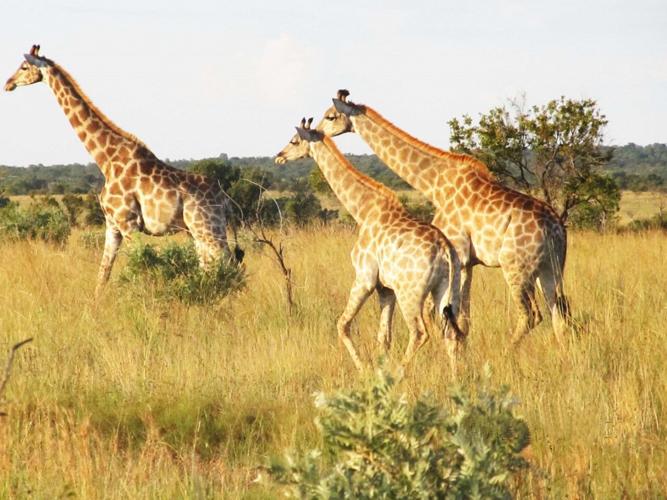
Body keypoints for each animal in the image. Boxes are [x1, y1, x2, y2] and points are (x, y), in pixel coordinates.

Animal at [4, 45, 235, 294]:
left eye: (24, 67)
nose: (8, 83)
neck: (106, 160)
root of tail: (223, 197)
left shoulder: (128, 222)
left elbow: (142, 266)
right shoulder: (112, 225)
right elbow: (103, 274)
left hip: (206, 226)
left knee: (228, 263)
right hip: (198, 229)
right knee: (211, 265)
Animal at [275, 118, 464, 371]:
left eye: (294, 140)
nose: (279, 156)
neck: (362, 211)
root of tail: (445, 250)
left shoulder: (365, 278)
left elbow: (342, 324)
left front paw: (364, 369)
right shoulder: (386, 288)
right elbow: (383, 337)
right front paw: (378, 370)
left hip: (411, 293)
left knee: (419, 332)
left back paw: (400, 373)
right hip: (445, 288)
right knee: (451, 333)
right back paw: (456, 378)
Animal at [317, 90, 569, 344]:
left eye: (330, 116)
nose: (318, 132)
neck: (435, 184)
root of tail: (556, 228)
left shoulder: (458, 252)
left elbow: (443, 315)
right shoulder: (467, 262)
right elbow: (462, 318)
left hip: (515, 267)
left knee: (531, 314)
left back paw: (507, 350)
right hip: (550, 267)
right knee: (559, 313)